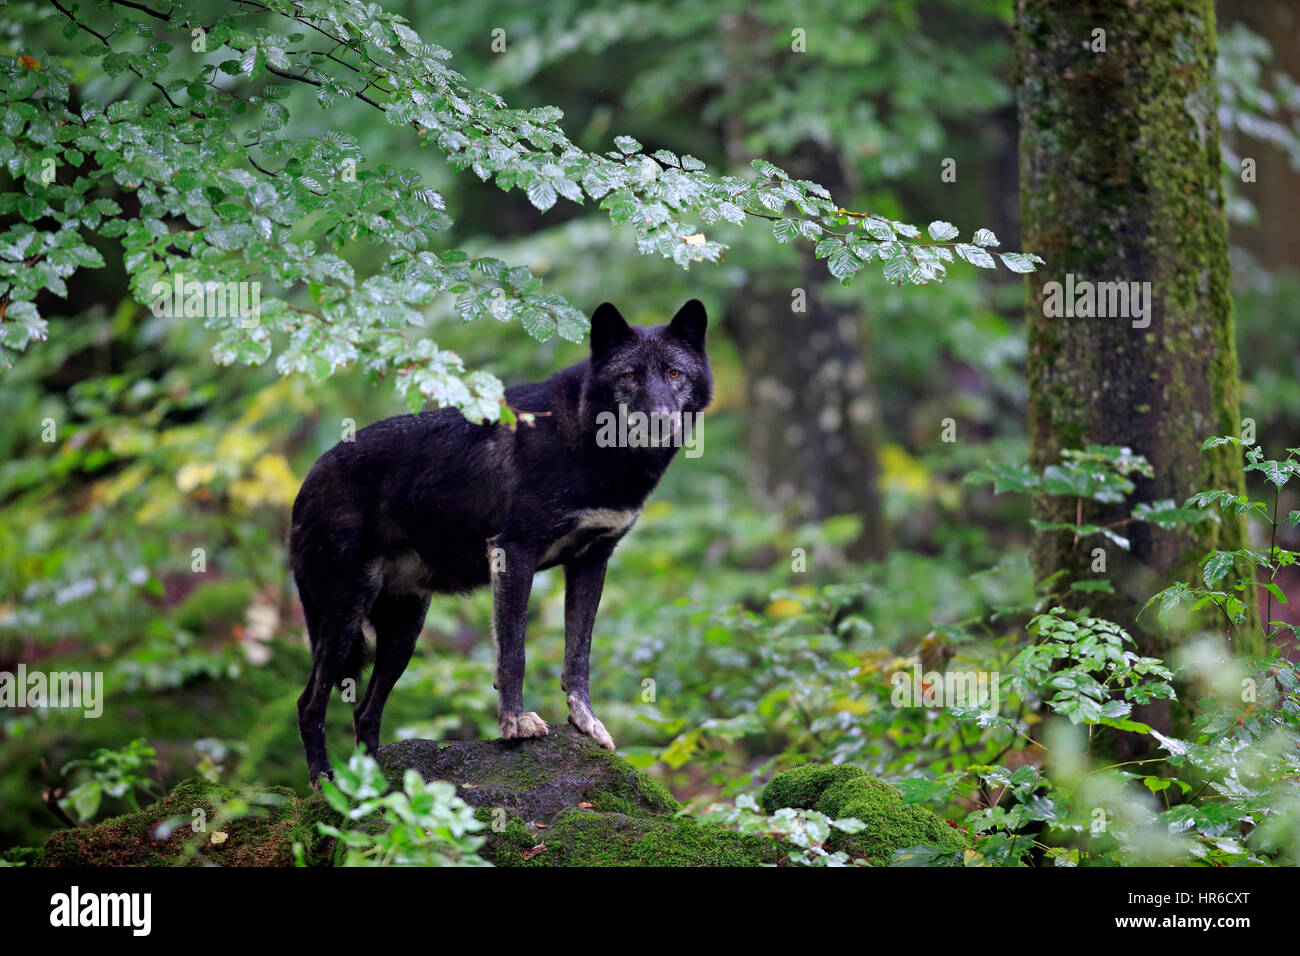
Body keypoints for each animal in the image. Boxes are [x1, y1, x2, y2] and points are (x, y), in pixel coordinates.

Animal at [289, 300, 711, 786]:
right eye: (630, 376)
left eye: (674, 373)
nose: (659, 418)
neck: (588, 439)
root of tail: (307, 480)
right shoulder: (514, 552)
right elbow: (513, 654)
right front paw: (514, 725)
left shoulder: (591, 560)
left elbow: (578, 658)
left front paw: (586, 723)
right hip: (344, 619)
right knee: (309, 704)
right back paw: (323, 781)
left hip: (403, 633)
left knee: (364, 711)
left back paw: (377, 791)